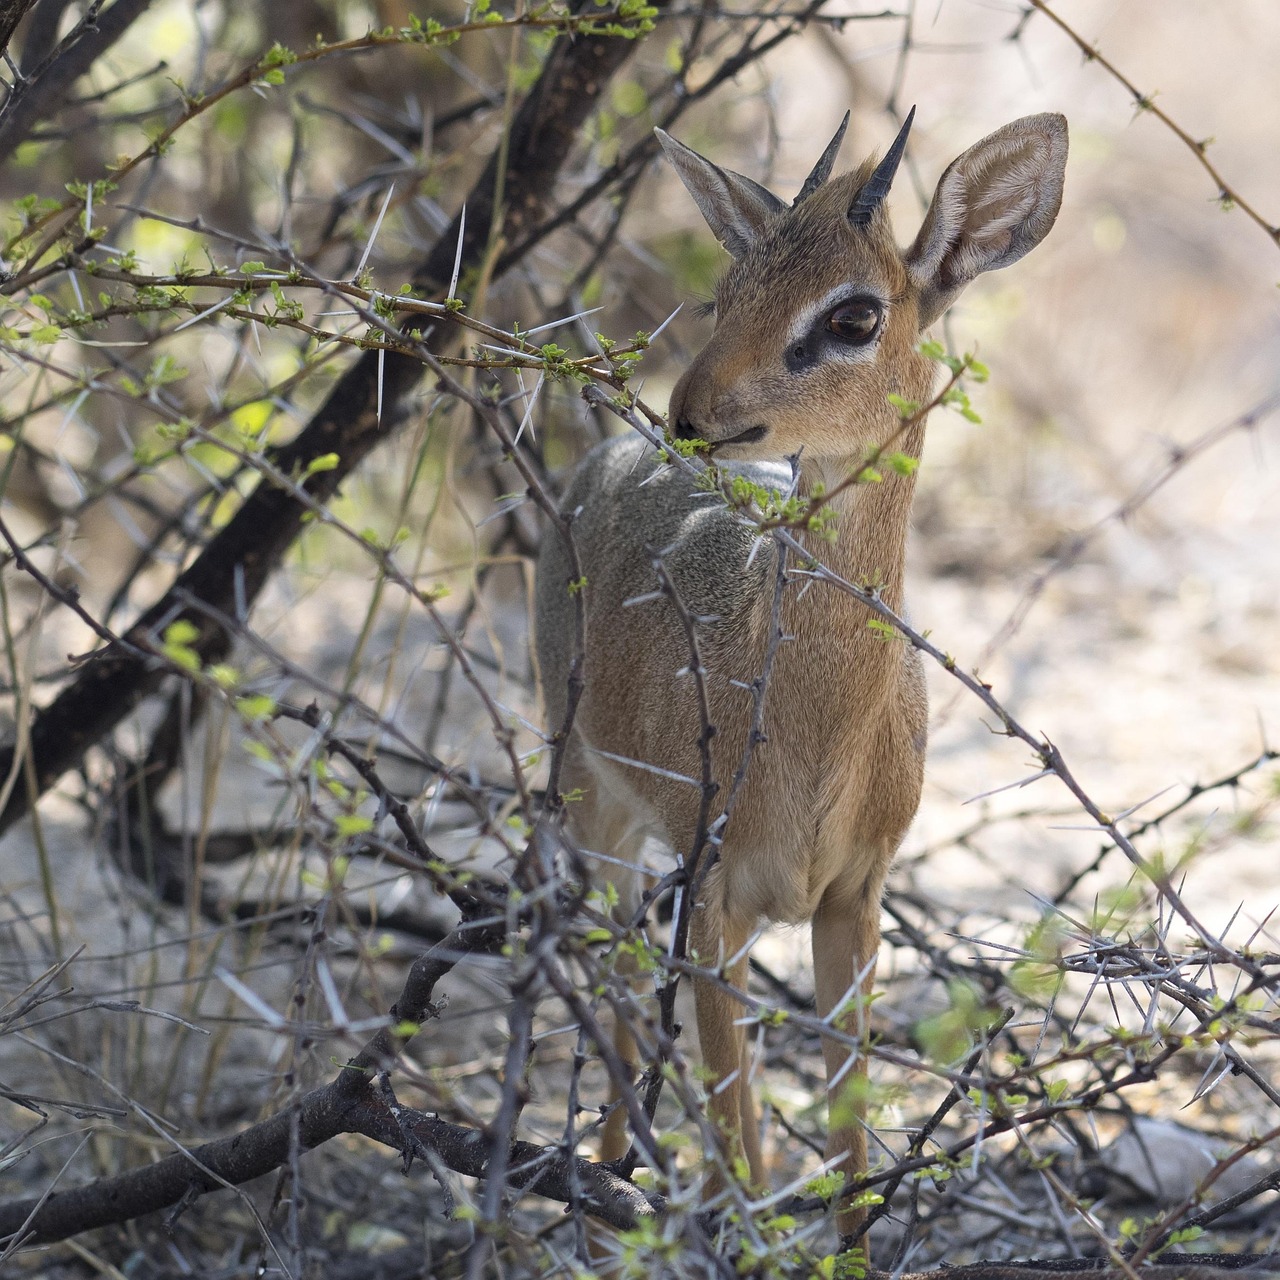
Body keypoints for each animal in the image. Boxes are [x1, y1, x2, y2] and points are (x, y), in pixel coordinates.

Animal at [535, 109, 1067, 1233]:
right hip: (592, 804)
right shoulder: (711, 890)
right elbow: (738, 1131)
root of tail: (599, 459)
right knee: (612, 971)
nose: (691, 411)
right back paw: (606, 1177)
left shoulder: (852, 898)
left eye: (854, 314)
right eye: (729, 287)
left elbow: (849, 1142)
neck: (817, 731)